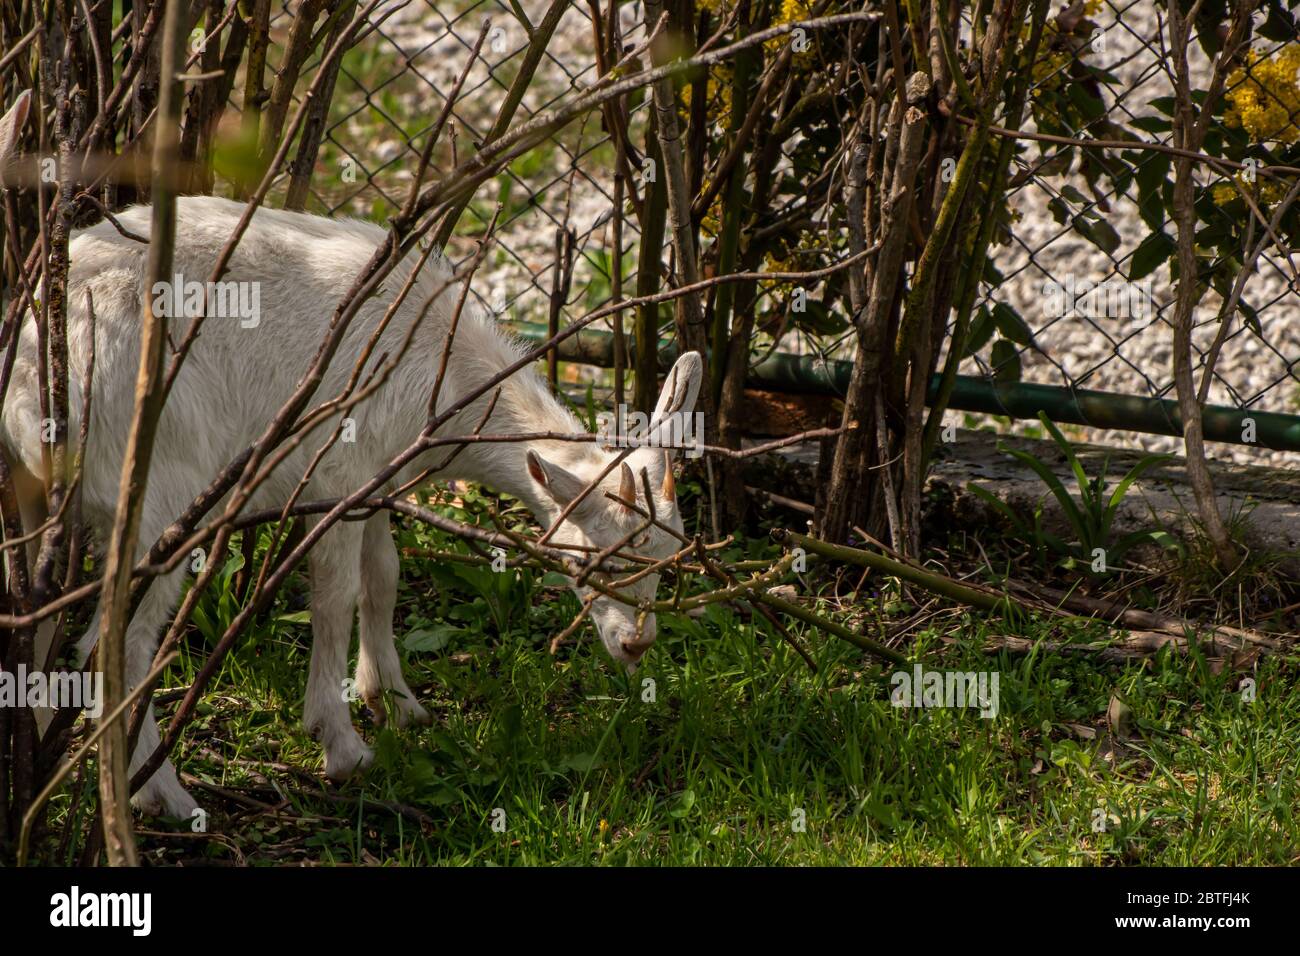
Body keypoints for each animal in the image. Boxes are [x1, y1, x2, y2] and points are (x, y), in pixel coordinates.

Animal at [0, 91, 702, 818]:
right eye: (593, 560)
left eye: (672, 554)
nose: (637, 644)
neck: (440, 366)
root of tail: (32, 388)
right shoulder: (335, 472)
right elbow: (335, 596)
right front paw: (341, 745)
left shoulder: (378, 477)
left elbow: (384, 575)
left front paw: (396, 700)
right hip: (159, 490)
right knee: (115, 642)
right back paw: (158, 793)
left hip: (33, 494)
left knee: (36, 611)